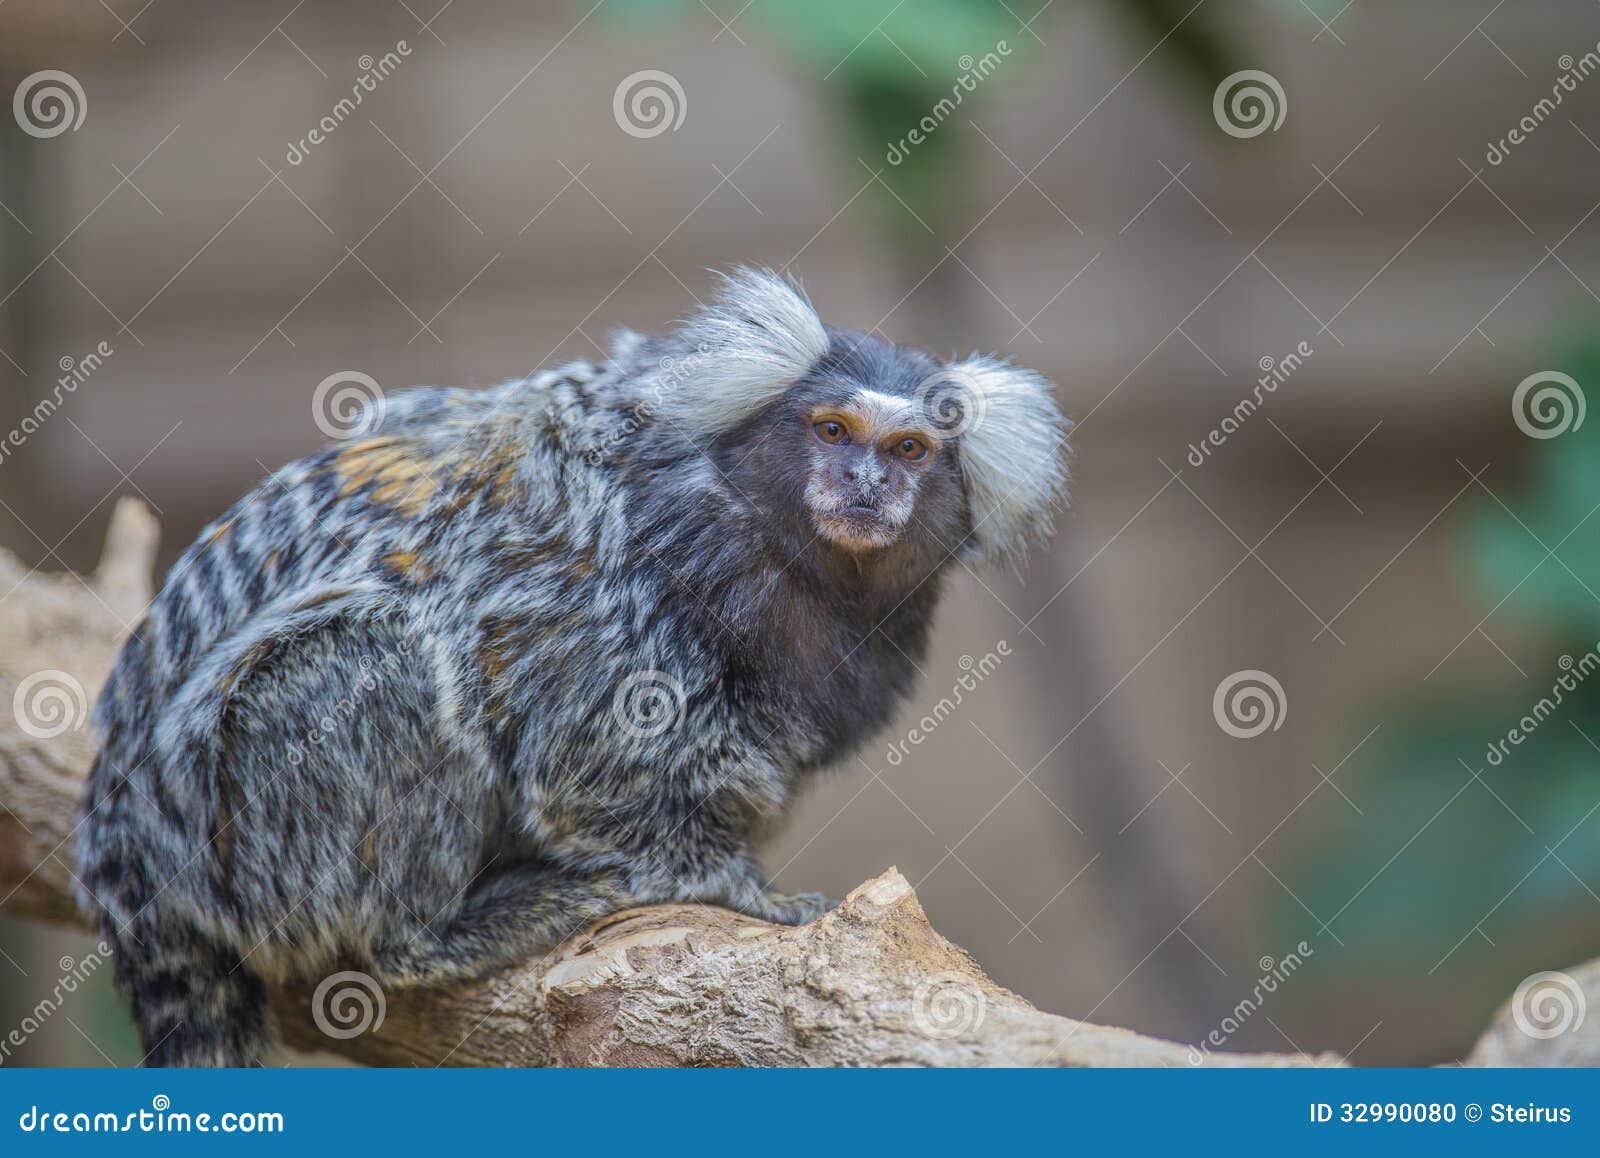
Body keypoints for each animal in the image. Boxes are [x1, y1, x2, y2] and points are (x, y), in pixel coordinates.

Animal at [75, 268, 1069, 1066]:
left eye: (910, 450)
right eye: (832, 430)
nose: (866, 485)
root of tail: (129, 856)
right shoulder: (608, 592)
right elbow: (582, 761)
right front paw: (728, 880)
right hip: (246, 827)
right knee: (376, 661)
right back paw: (430, 934)